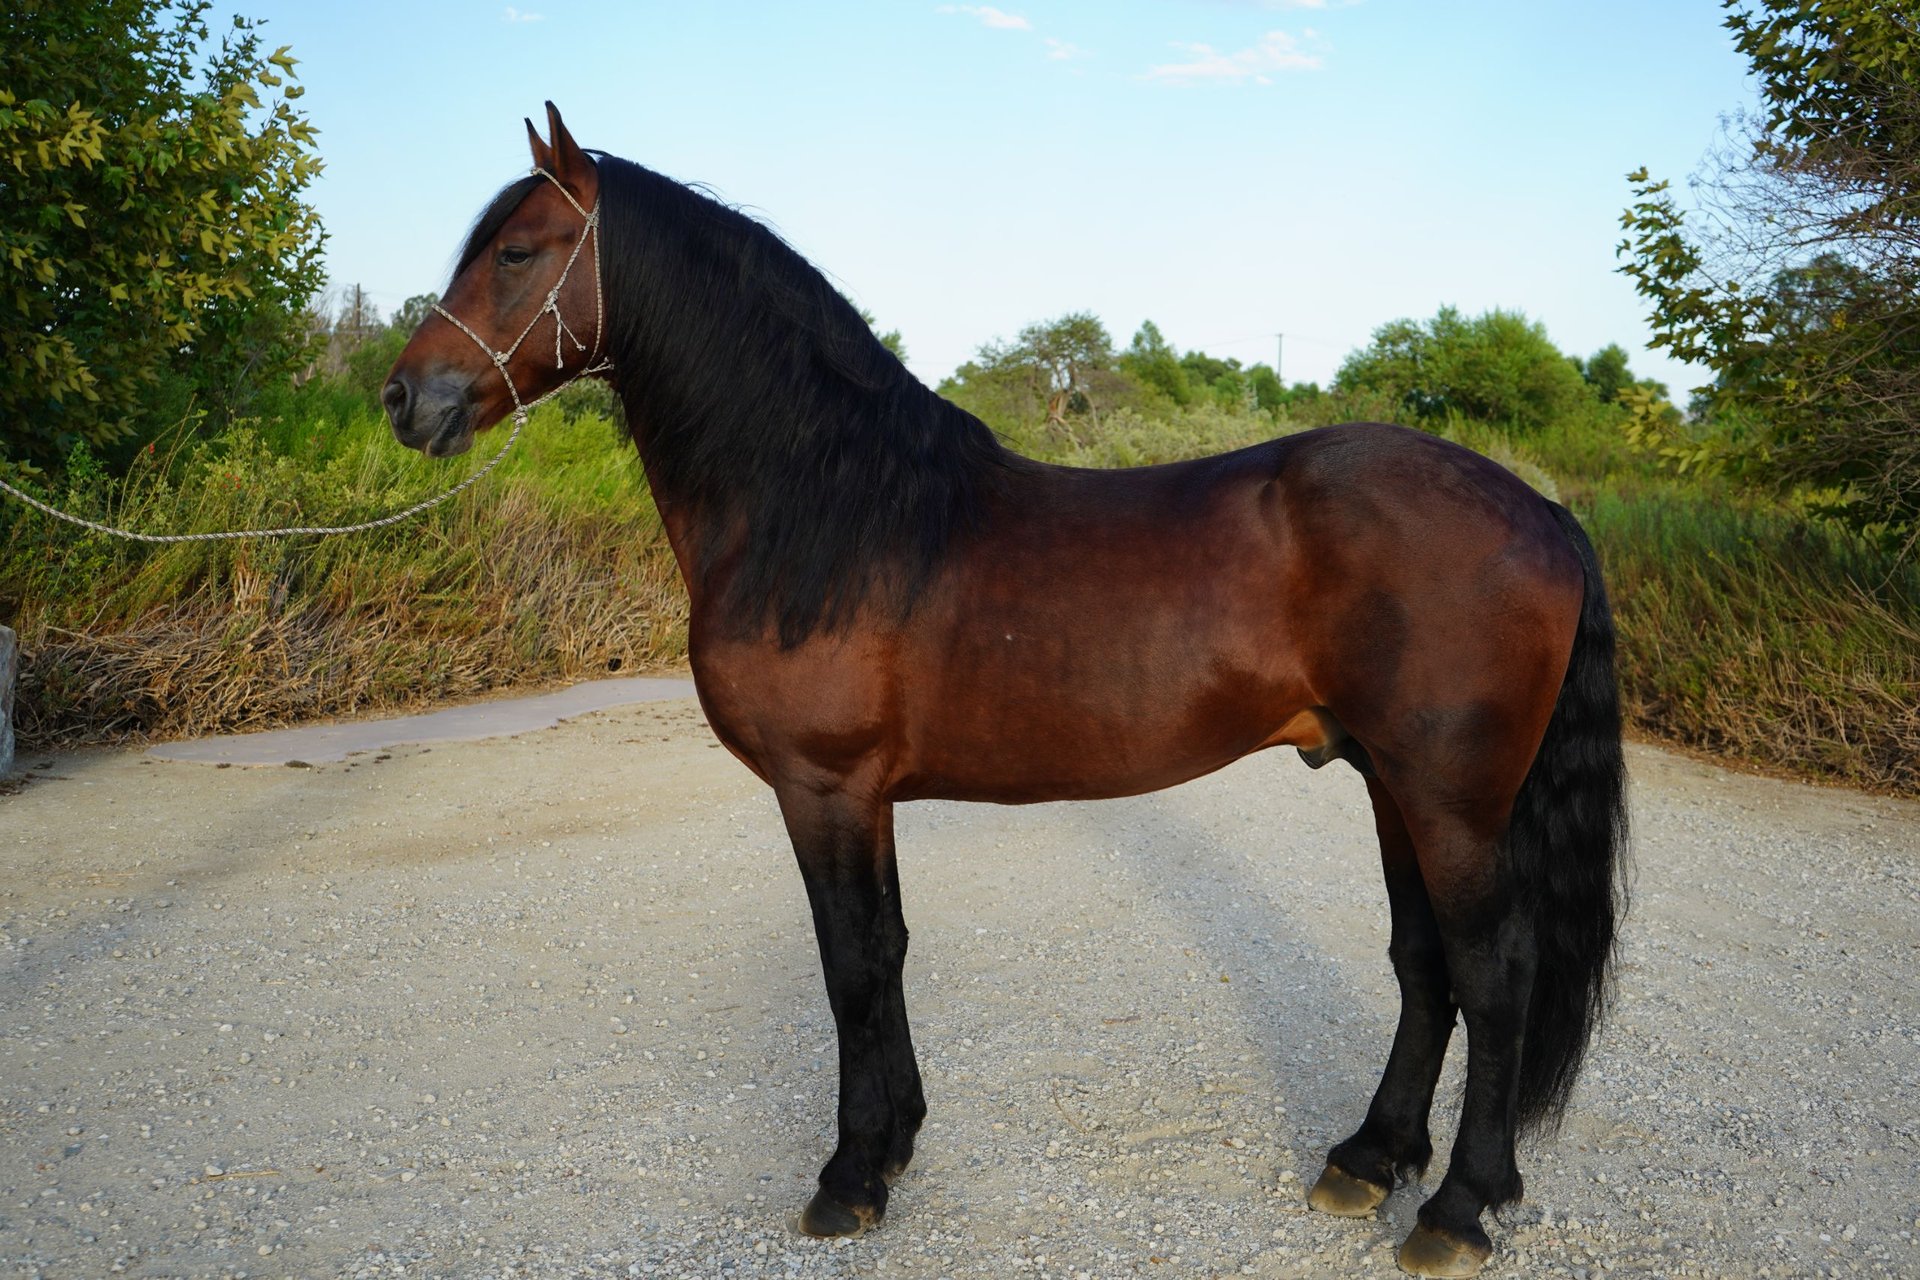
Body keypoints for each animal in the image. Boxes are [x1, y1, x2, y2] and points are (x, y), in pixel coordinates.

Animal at [382, 104, 1627, 1279]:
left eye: (517, 251)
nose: (405, 398)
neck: (828, 508)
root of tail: (1540, 510)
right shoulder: (865, 794)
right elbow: (886, 949)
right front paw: (894, 1142)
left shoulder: (822, 786)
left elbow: (847, 967)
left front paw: (848, 1178)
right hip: (1390, 783)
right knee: (1425, 966)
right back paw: (1369, 1157)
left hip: (1451, 800)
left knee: (1494, 973)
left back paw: (1456, 1209)